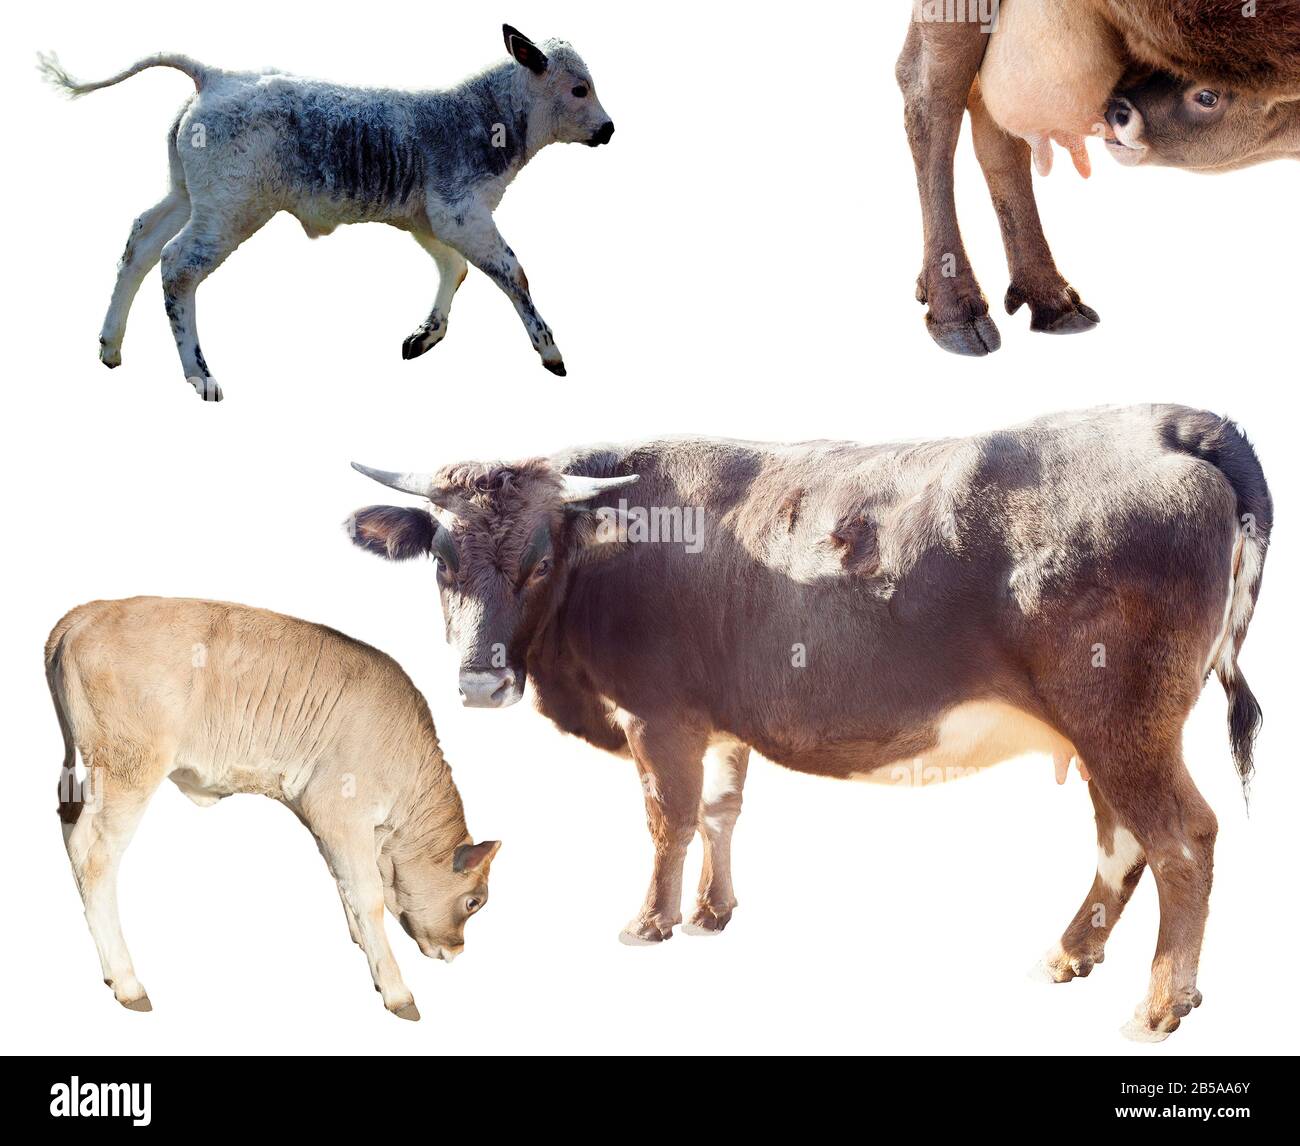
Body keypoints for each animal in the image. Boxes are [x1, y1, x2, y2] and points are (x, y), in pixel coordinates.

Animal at [38, 25, 614, 400]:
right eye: (579, 88)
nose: (608, 129)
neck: (482, 116)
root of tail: (218, 76)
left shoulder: (431, 218)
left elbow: (455, 267)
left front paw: (426, 336)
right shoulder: (461, 213)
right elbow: (512, 272)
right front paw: (550, 351)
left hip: (187, 193)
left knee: (140, 240)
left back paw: (110, 345)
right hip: (228, 210)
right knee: (177, 266)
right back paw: (200, 375)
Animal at [46, 597, 500, 1020]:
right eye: (474, 902)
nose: (455, 951)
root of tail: (94, 610)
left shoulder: (330, 822)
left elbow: (345, 883)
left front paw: (361, 942)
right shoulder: (342, 812)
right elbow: (368, 895)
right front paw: (396, 991)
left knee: (71, 830)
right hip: (129, 770)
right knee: (94, 855)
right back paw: (127, 983)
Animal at [347, 404, 1271, 1041]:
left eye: (540, 563)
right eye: (441, 561)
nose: (479, 681)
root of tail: (1167, 421)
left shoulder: (658, 714)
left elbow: (668, 818)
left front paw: (650, 923)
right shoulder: (720, 723)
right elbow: (720, 813)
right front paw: (713, 912)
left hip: (1124, 721)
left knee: (1182, 839)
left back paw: (1159, 1006)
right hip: (1103, 730)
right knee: (1123, 840)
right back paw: (1071, 955)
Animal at [899, 0, 1300, 355]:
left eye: (1207, 95)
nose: (1117, 110)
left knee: (995, 124)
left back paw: (1054, 303)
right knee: (932, 93)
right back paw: (958, 314)